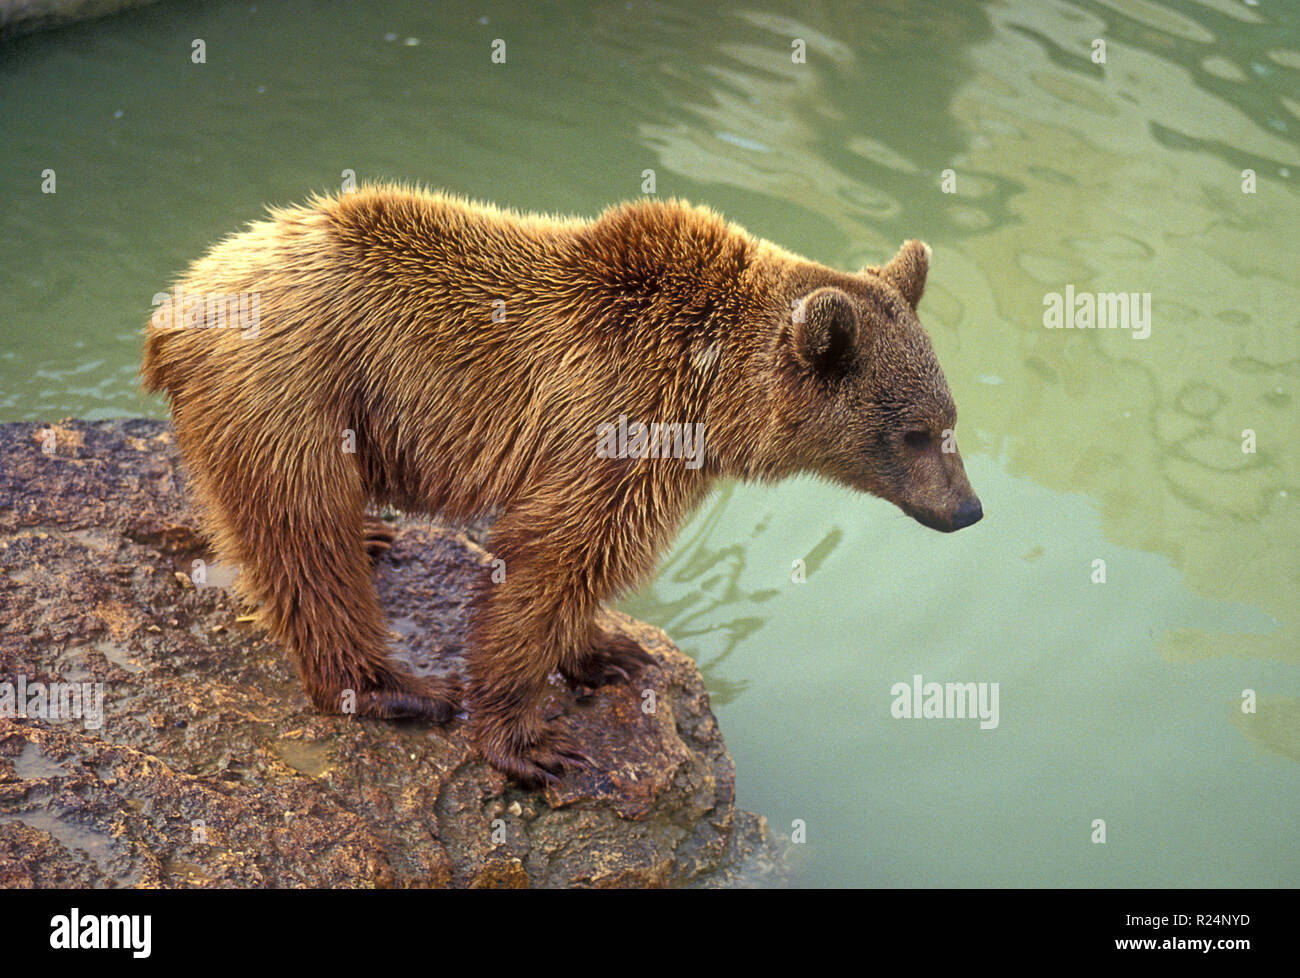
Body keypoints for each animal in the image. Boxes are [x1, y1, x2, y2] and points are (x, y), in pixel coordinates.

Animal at [141, 184, 981, 788]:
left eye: (950, 419)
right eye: (915, 433)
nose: (969, 509)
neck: (714, 395)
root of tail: (178, 300)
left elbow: (579, 570)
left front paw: (610, 651)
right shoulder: (616, 421)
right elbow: (553, 556)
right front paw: (532, 742)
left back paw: (373, 536)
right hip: (292, 390)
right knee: (303, 535)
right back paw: (394, 686)